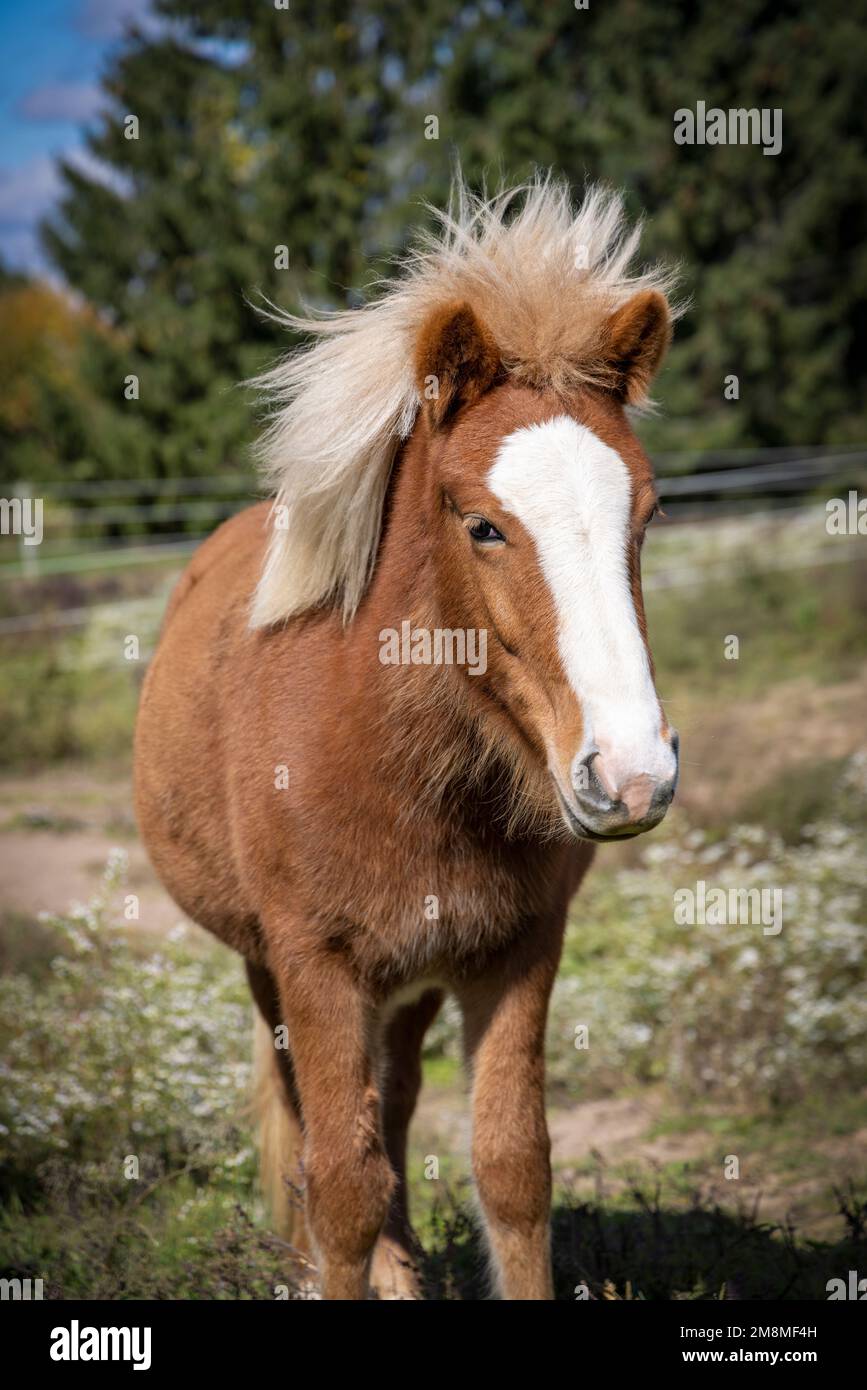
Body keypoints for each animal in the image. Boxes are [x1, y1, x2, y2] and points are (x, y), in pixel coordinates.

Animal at [134, 174, 681, 1300]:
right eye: (482, 525)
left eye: (646, 514)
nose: (631, 775)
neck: (405, 768)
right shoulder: (317, 962)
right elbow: (339, 1180)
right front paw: (341, 1257)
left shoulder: (516, 950)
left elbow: (511, 1168)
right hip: (271, 968)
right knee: (312, 1123)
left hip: (413, 982)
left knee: (391, 1104)